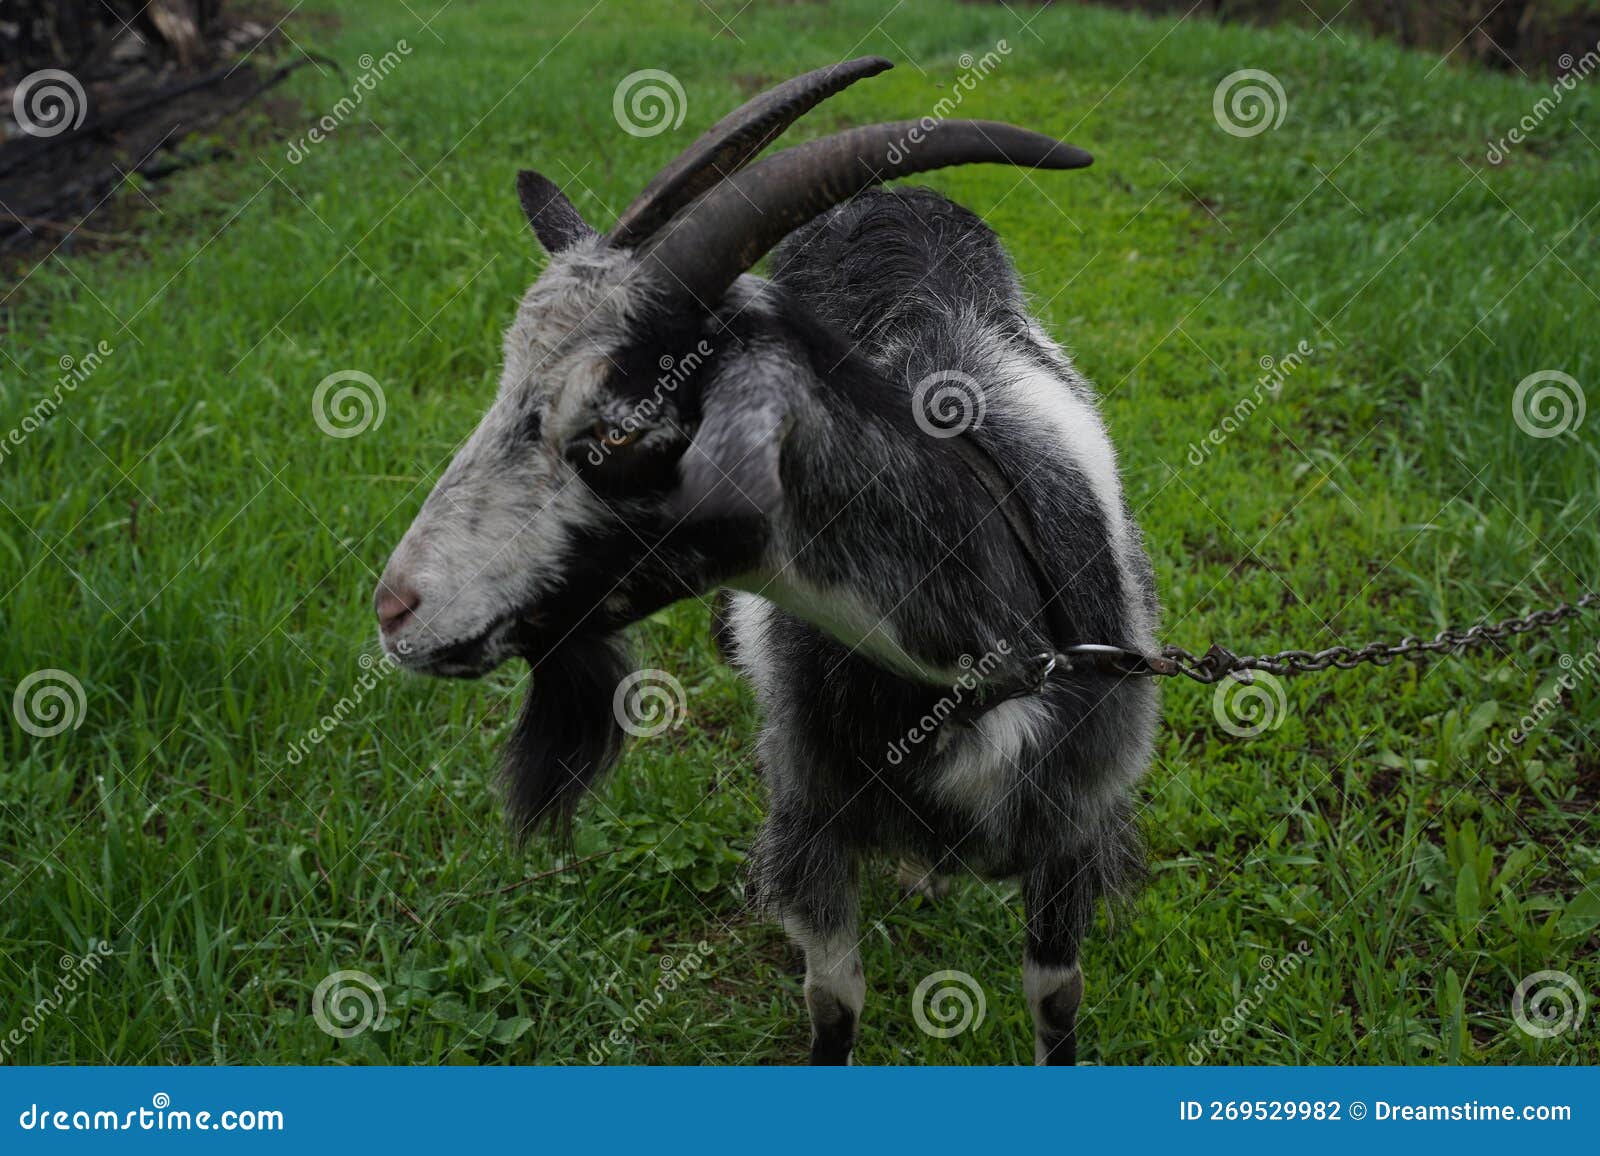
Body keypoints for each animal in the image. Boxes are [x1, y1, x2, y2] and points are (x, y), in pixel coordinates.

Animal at [374, 57, 1159, 1065]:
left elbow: (1056, 999)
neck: (980, 666)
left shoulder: (1076, 828)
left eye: (615, 434)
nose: (396, 609)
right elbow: (834, 998)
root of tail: (888, 200)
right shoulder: (809, 817)